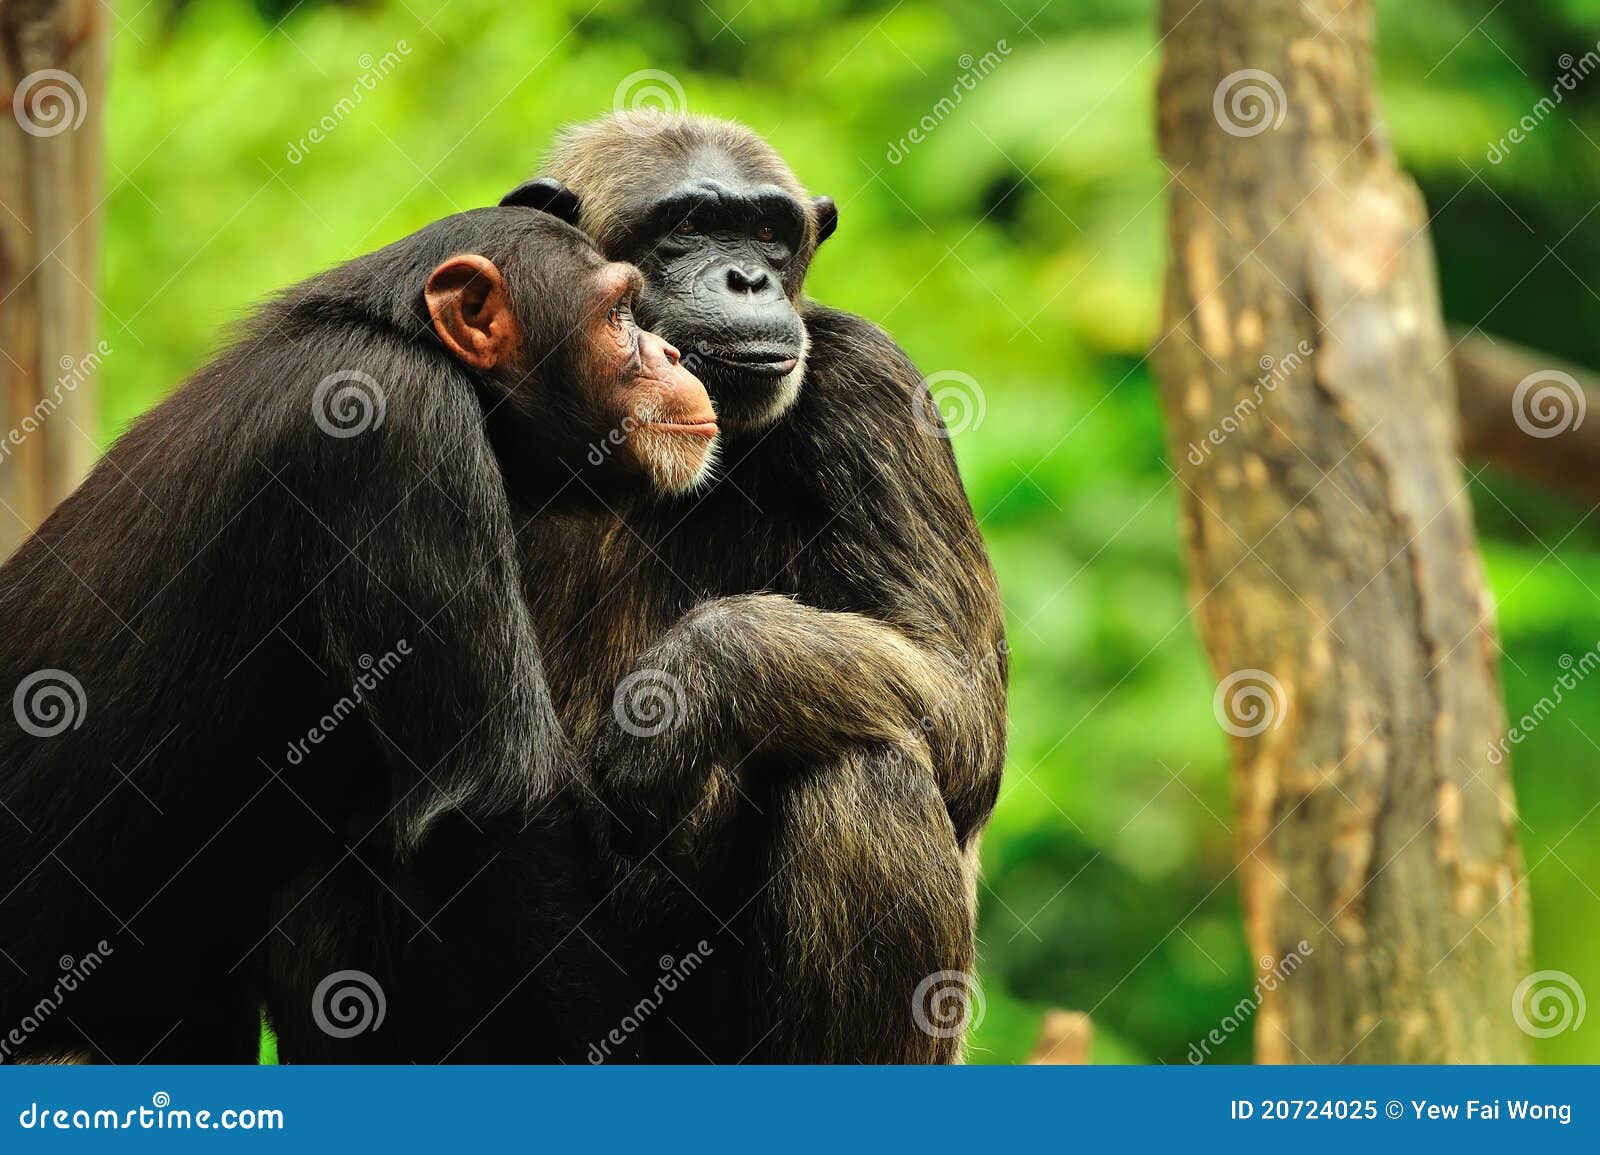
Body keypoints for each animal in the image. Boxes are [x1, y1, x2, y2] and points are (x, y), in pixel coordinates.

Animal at [500, 113, 1007, 1063]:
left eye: (770, 232)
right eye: (689, 226)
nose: (747, 276)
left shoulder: (876, 389)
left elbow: (963, 700)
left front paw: (684, 688)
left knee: (862, 769)